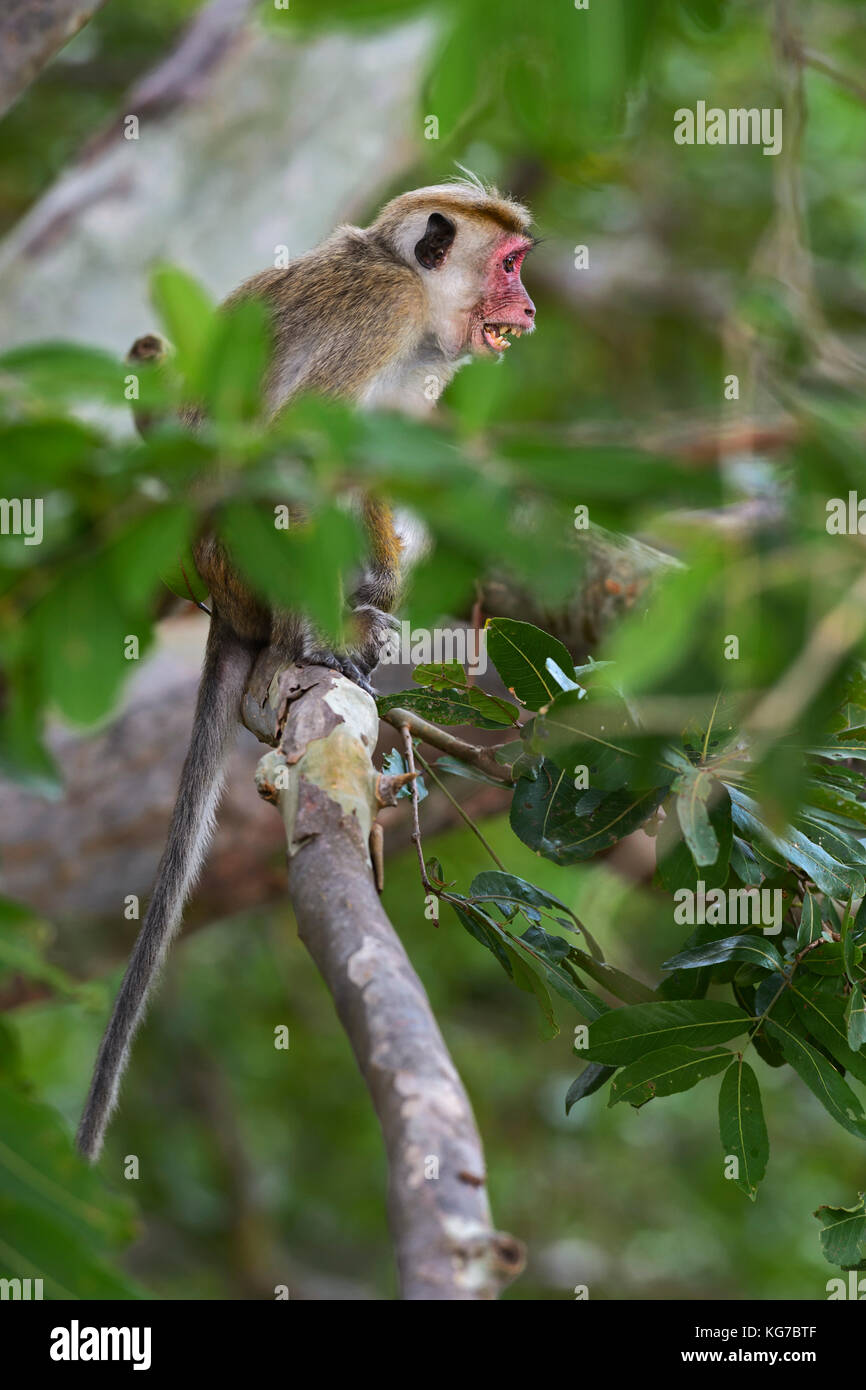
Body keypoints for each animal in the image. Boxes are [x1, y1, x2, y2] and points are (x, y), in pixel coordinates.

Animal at [76, 178, 537, 1161]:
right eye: (510, 266)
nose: (526, 308)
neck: (409, 282)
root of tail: (224, 605)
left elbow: (370, 456)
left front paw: (386, 582)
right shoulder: (383, 316)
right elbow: (296, 442)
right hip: (242, 568)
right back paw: (306, 639)